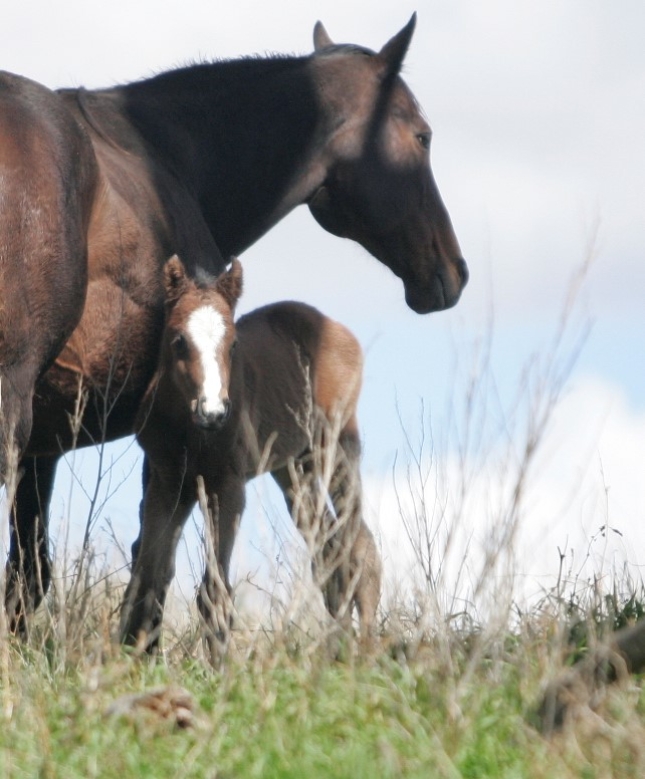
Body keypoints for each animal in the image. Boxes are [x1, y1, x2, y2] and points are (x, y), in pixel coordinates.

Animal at [120, 256, 382, 657]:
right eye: (178, 341)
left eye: (232, 344)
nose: (213, 412)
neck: (189, 432)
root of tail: (335, 327)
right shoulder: (168, 485)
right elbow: (148, 578)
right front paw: (133, 658)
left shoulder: (228, 487)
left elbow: (214, 590)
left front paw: (221, 668)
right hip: (294, 468)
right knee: (328, 546)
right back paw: (337, 647)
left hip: (338, 445)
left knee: (358, 543)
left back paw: (364, 650)